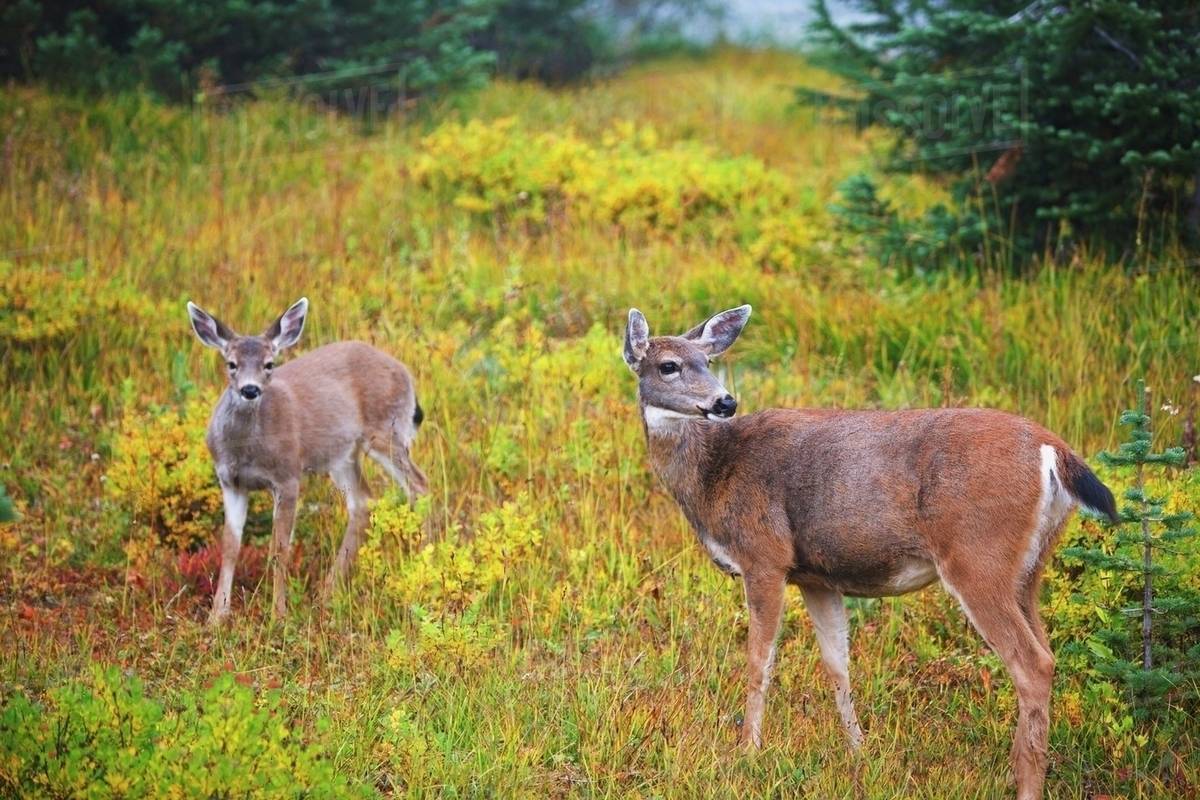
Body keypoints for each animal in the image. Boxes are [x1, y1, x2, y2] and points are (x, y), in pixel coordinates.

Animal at [187, 298, 428, 625]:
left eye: (269, 364)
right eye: (231, 364)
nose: (250, 390)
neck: (245, 450)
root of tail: (405, 373)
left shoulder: (288, 476)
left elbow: (279, 549)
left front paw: (278, 615)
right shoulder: (230, 482)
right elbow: (230, 546)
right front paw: (216, 617)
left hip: (385, 432)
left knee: (419, 485)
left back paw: (422, 558)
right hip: (341, 455)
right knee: (363, 501)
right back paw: (328, 591)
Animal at [623, 304, 1117, 800]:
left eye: (707, 361)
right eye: (670, 365)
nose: (725, 402)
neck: (713, 476)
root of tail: (1054, 451)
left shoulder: (764, 556)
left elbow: (759, 660)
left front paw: (747, 751)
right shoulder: (815, 577)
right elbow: (837, 664)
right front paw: (859, 751)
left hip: (978, 556)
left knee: (1032, 663)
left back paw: (1026, 782)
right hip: (1029, 568)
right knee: (1047, 653)